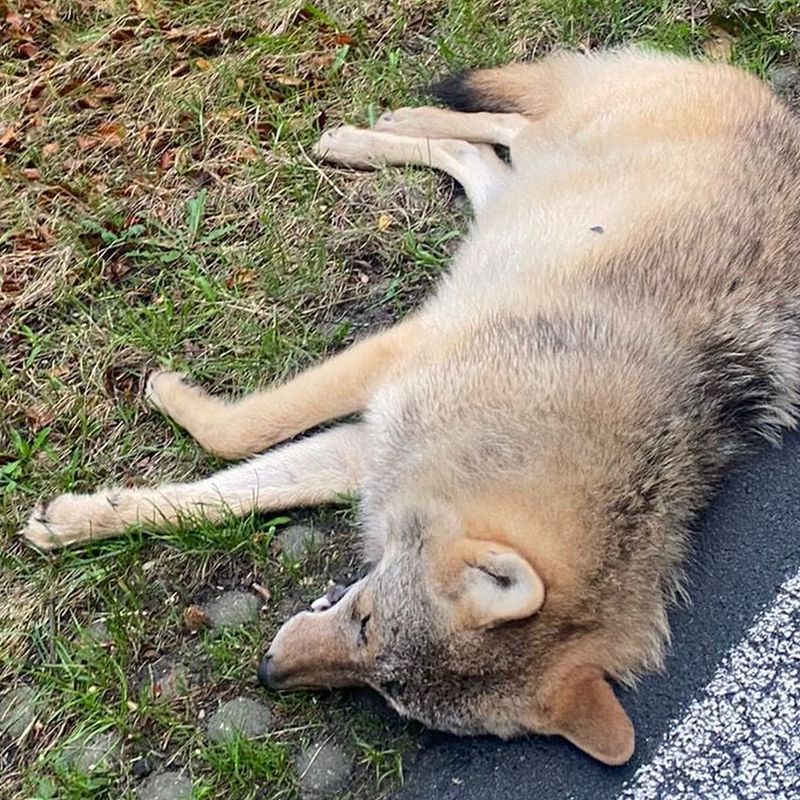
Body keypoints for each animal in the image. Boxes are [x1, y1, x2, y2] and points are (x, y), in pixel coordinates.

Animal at [21, 47, 800, 764]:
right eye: (366, 621)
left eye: (387, 689)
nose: (268, 673)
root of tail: (763, 98)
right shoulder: (394, 366)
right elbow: (238, 436)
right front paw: (155, 416)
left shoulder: (372, 454)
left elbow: (224, 494)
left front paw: (78, 519)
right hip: (540, 160)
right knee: (503, 125)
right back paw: (372, 130)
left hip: (514, 205)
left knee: (479, 150)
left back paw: (377, 133)